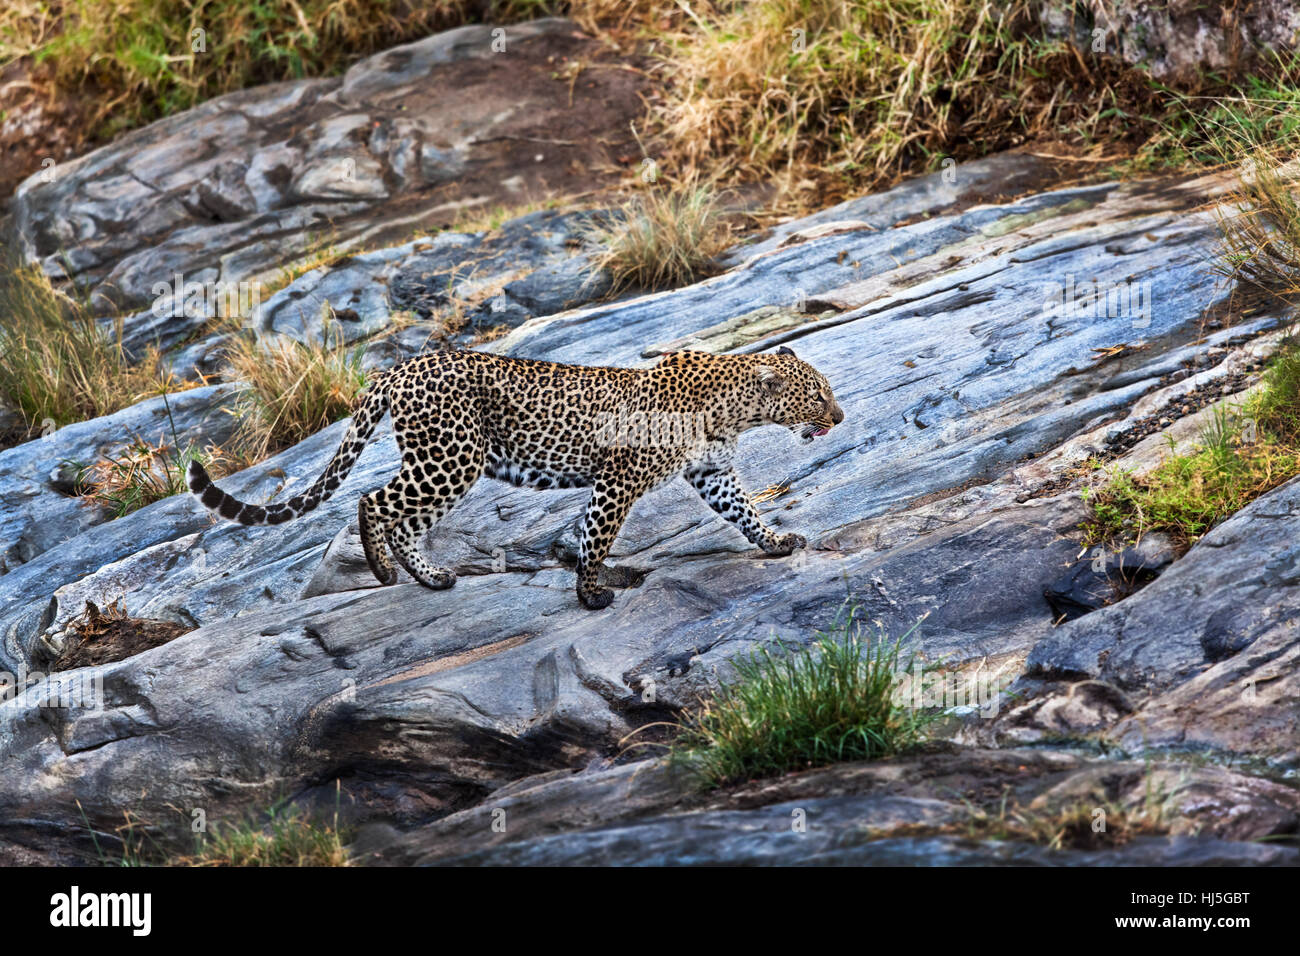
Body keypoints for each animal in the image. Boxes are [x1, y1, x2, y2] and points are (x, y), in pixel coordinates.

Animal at [187, 346, 845, 610]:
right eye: (818, 395)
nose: (839, 417)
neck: (735, 408)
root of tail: (399, 367)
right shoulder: (619, 478)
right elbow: (598, 537)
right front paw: (590, 593)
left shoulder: (712, 473)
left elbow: (745, 511)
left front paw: (777, 542)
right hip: (450, 459)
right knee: (375, 501)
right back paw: (383, 572)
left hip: (448, 463)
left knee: (404, 520)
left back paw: (431, 578)